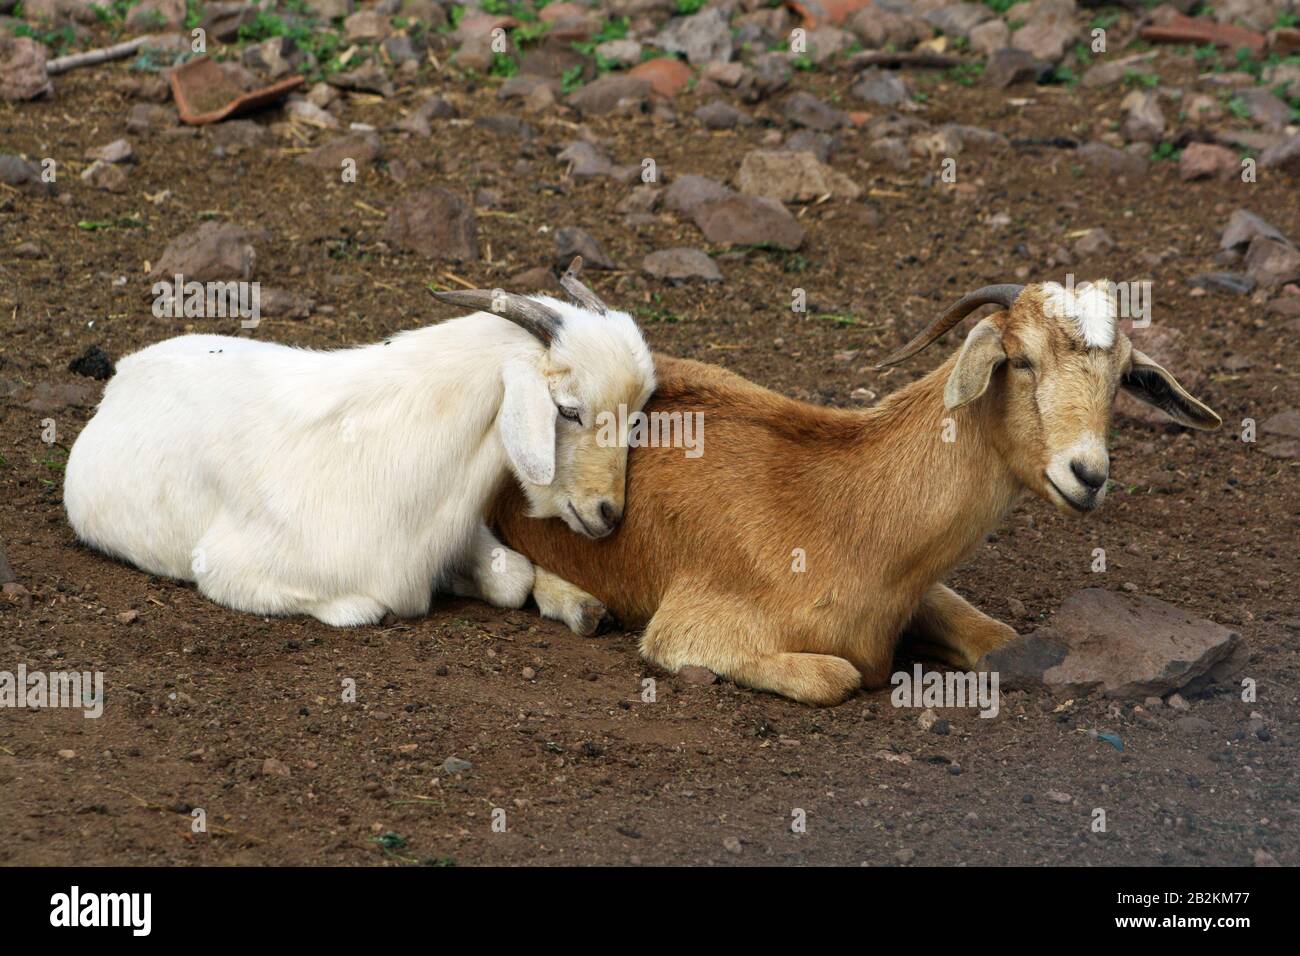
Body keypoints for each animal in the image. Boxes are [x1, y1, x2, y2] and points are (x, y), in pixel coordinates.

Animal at [63, 259, 655, 628]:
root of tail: (123, 374)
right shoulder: (229, 567)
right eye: (568, 410)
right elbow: (367, 608)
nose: (608, 513)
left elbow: (514, 576)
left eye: (635, 418)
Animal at [489, 281, 1221, 705]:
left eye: (1123, 378)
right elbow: (837, 678)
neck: (845, 510)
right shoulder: (690, 628)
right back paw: (579, 603)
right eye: (1020, 359)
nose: (1087, 474)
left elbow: (1000, 639)